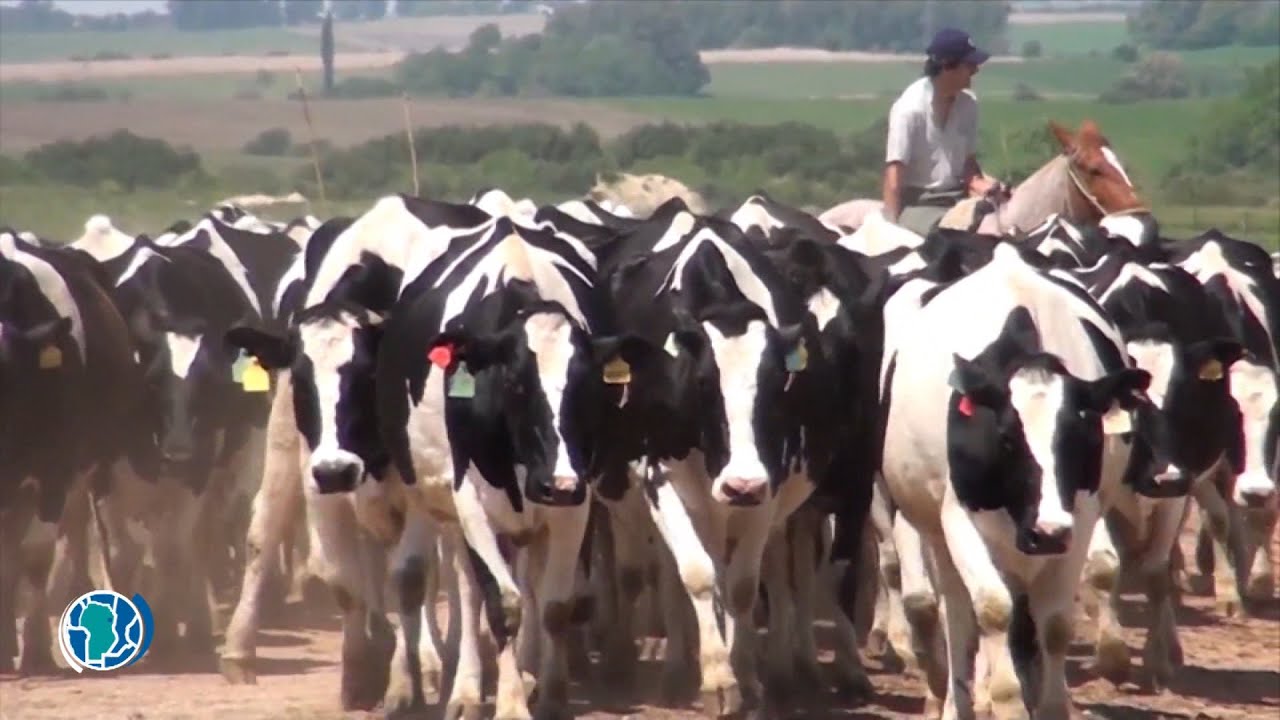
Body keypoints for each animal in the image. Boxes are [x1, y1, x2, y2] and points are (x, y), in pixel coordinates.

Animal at [879, 242, 1152, 719]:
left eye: (1083, 438)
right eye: (1005, 437)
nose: (1046, 532)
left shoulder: (1078, 518)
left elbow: (1055, 622)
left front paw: (1050, 705)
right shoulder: (960, 520)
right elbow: (991, 610)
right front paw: (1005, 702)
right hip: (934, 530)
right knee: (957, 615)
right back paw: (959, 702)